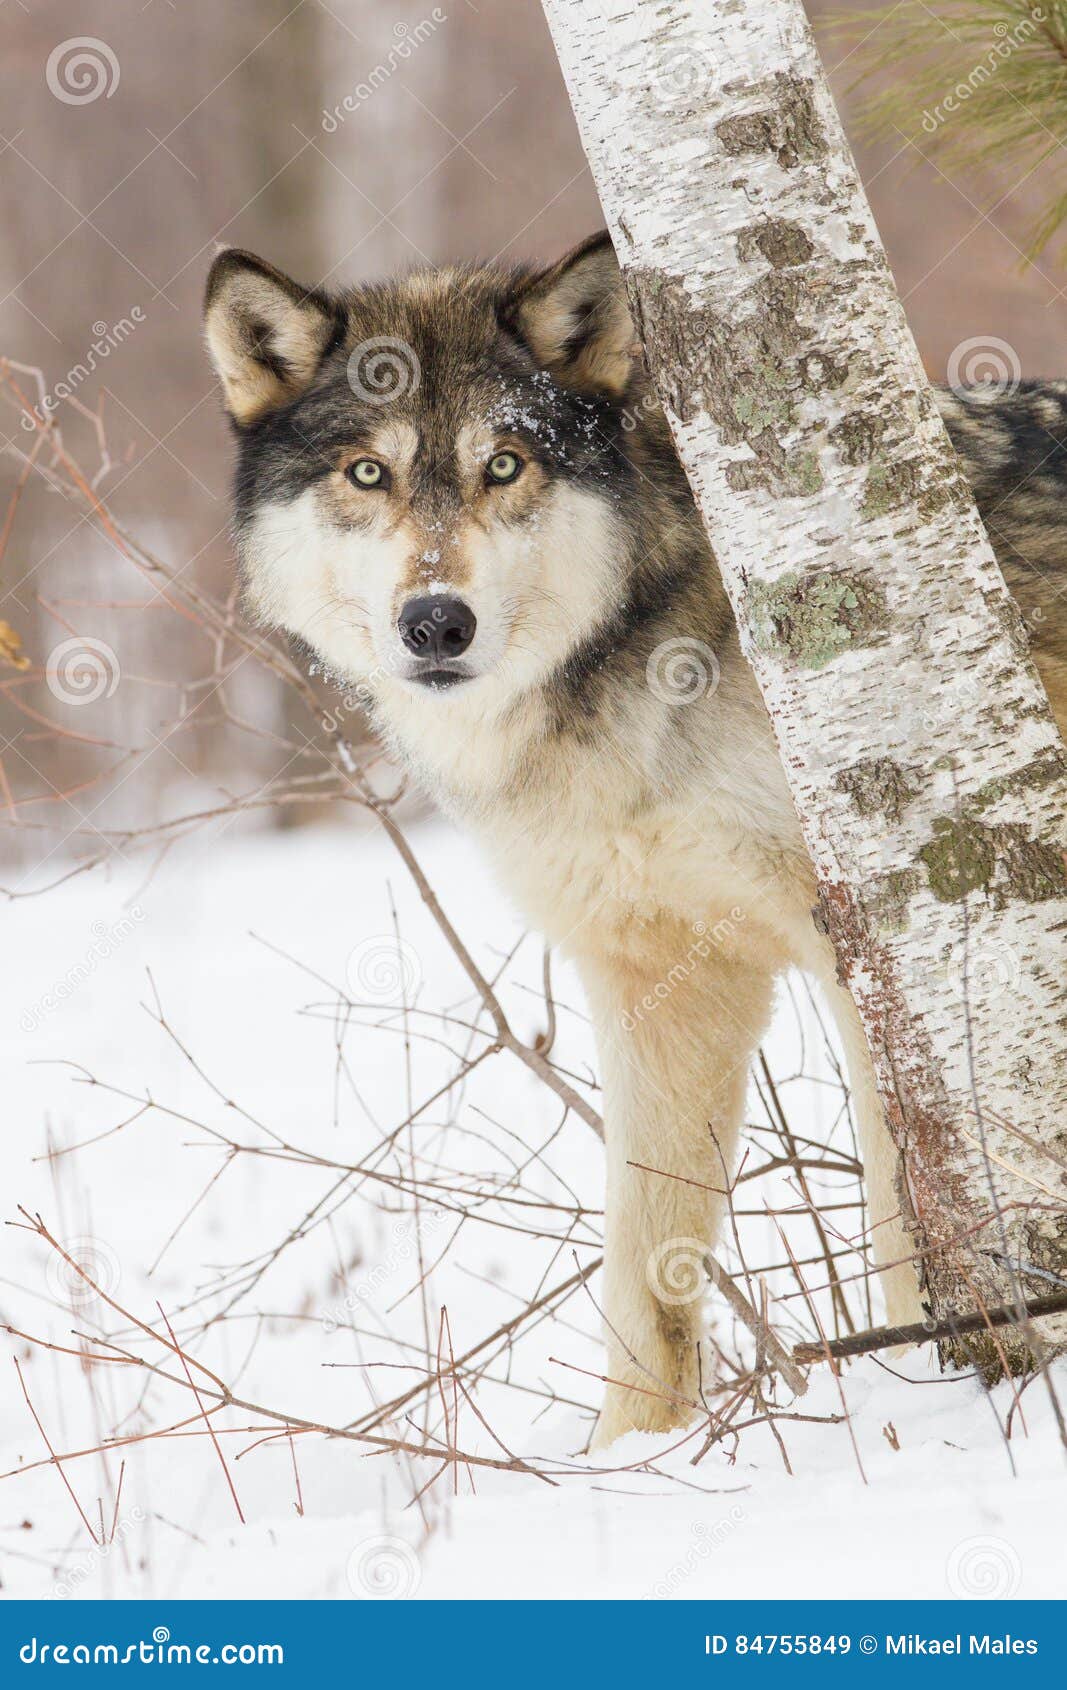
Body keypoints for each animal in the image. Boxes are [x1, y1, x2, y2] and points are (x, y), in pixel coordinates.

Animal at [204, 232, 1067, 1447]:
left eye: (505, 465)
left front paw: (935, 1393)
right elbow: (642, 1278)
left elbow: (907, 1232)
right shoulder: (659, 983)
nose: (435, 624)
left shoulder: (868, 956)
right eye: (366, 474)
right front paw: (632, 1461)